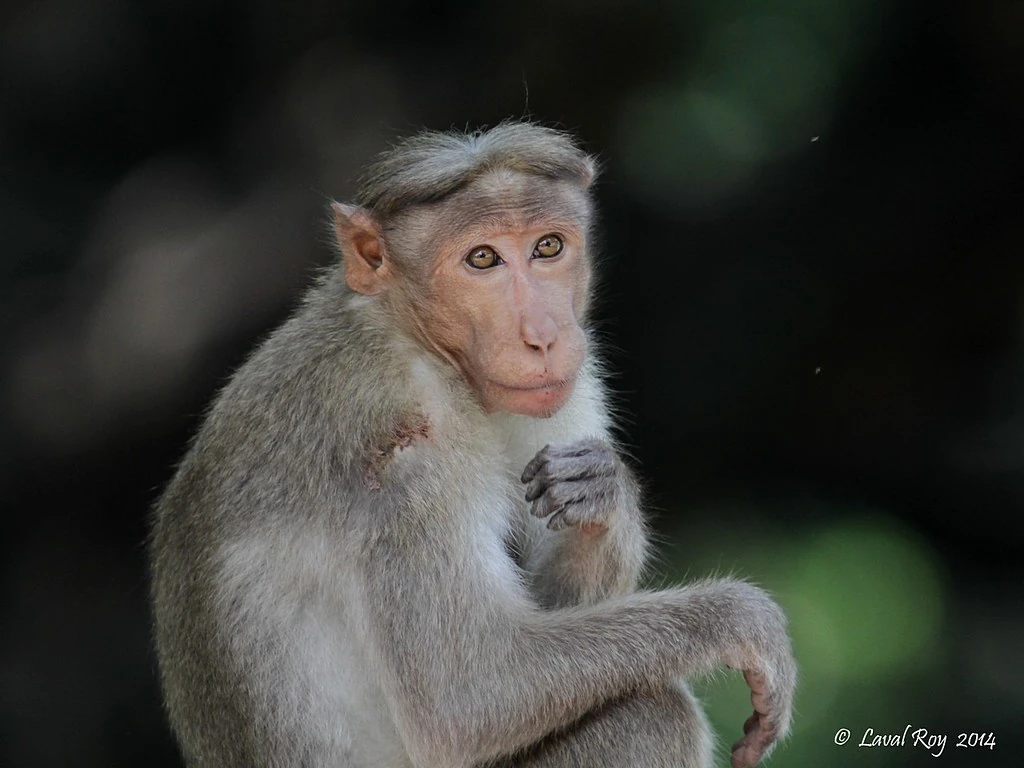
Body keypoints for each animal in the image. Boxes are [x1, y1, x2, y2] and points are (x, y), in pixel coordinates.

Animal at [149, 121, 796, 768]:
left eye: (548, 247)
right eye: (482, 258)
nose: (544, 336)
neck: (416, 337)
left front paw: (600, 491)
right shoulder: (401, 448)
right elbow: (468, 697)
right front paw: (738, 619)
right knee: (650, 714)